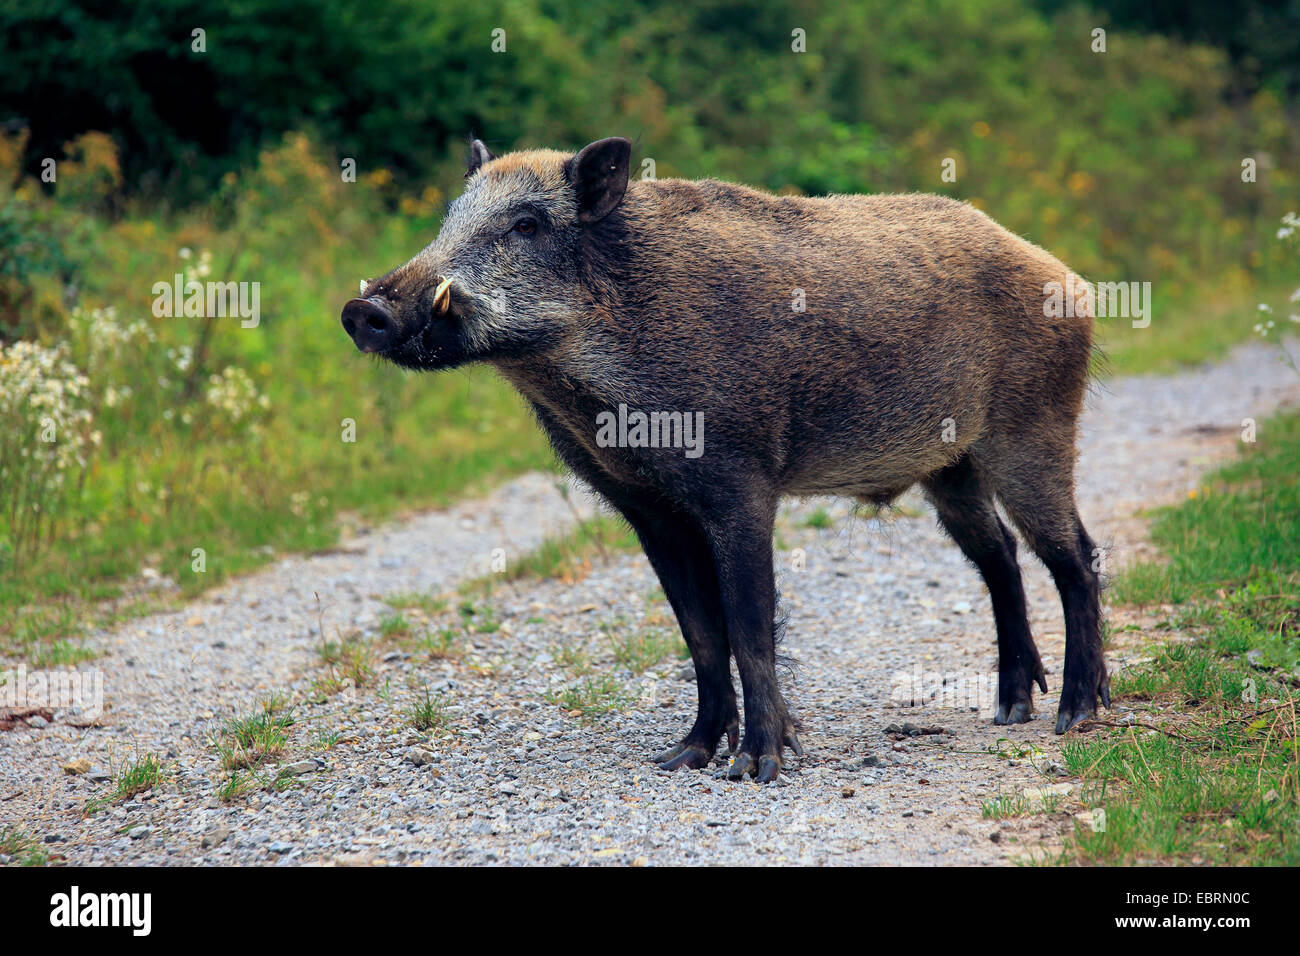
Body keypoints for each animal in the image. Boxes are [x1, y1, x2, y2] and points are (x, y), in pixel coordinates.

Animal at [341, 137, 1109, 782]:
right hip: (949, 471)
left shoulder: (741, 484)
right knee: (1001, 556)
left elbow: (747, 625)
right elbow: (699, 634)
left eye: (526, 224)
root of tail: (1073, 281)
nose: (363, 310)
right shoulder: (646, 507)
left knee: (1075, 555)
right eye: (450, 217)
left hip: (1033, 429)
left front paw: (757, 767)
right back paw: (1011, 709)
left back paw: (1075, 716)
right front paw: (682, 758)